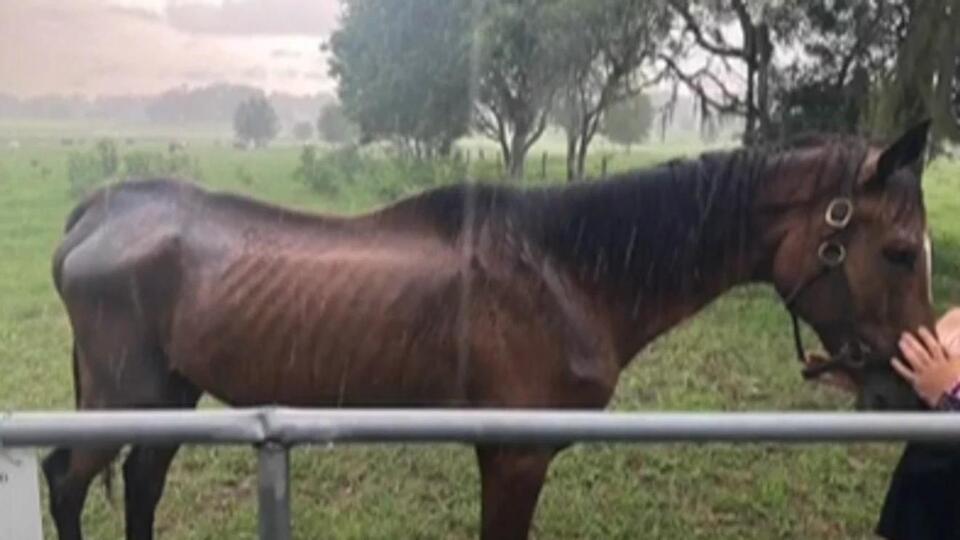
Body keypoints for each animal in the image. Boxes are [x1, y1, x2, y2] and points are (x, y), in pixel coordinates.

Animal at [42, 121, 935, 540]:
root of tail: (100, 212)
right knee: (65, 479)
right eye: (897, 251)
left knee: (142, 483)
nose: (909, 389)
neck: (566, 272)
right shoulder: (514, 458)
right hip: (123, 400)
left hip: (171, 394)